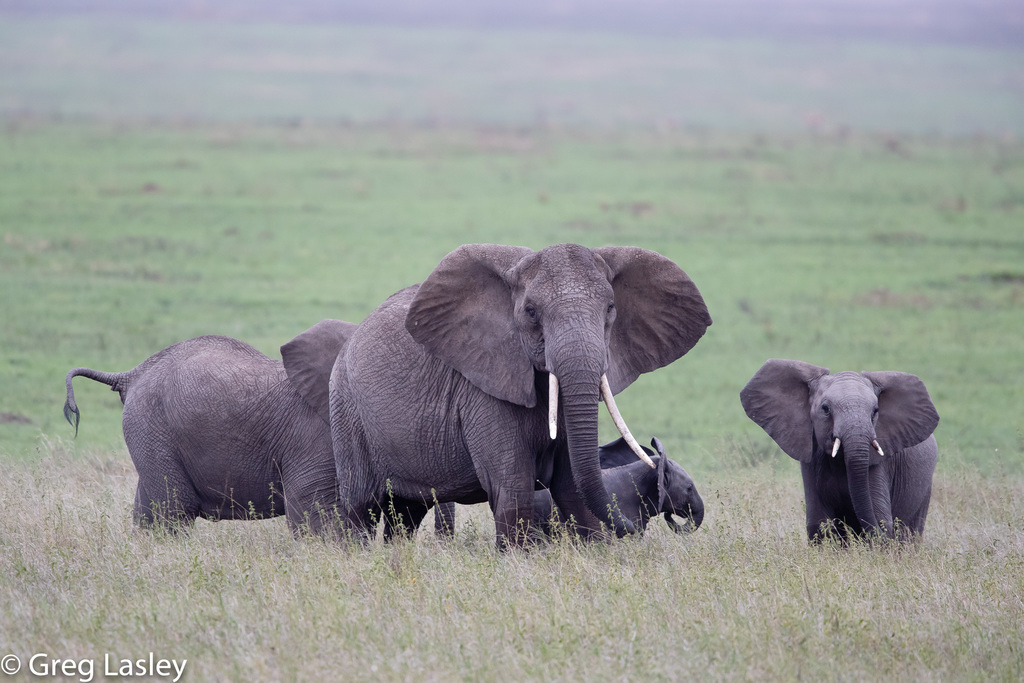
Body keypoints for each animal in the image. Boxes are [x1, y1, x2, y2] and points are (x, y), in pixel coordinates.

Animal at [63, 319, 355, 534]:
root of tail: (133, 374)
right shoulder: (312, 431)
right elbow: (314, 507)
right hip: (150, 425)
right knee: (173, 508)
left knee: (150, 509)